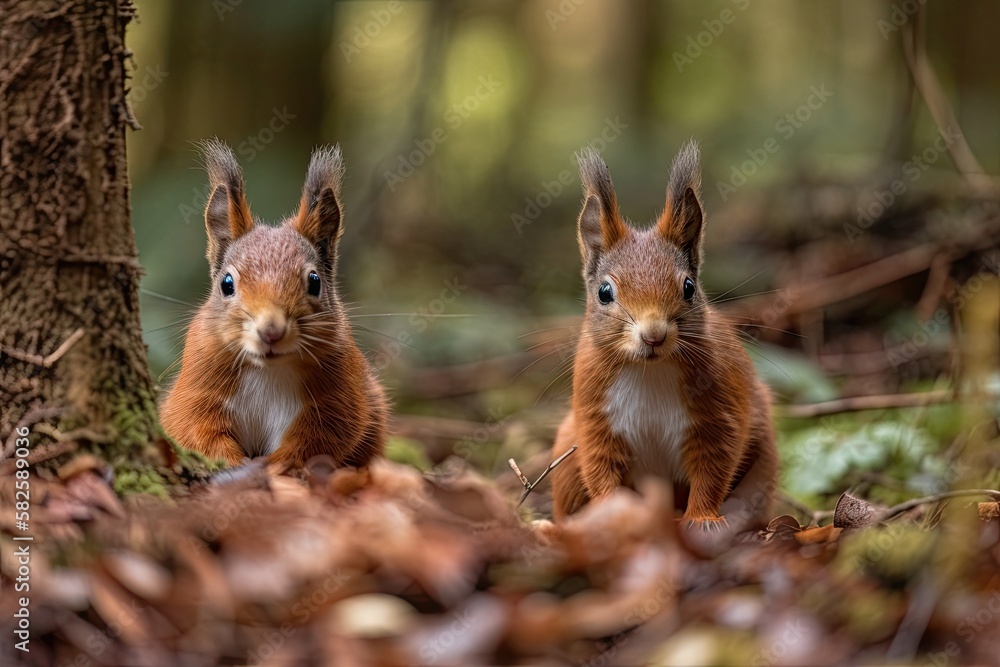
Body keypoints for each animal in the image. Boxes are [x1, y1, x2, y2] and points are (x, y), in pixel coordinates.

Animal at [159, 139, 388, 468]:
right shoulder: (196, 389)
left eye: (315, 282)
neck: (267, 370)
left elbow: (321, 437)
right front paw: (235, 463)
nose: (271, 330)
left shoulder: (338, 397)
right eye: (226, 284)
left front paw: (275, 464)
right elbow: (195, 429)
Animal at [550, 141, 778, 546]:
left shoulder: (720, 412)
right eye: (604, 292)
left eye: (689, 287)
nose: (653, 335)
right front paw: (611, 517)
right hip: (565, 450)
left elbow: (712, 469)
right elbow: (600, 468)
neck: (649, 370)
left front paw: (702, 520)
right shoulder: (594, 417)